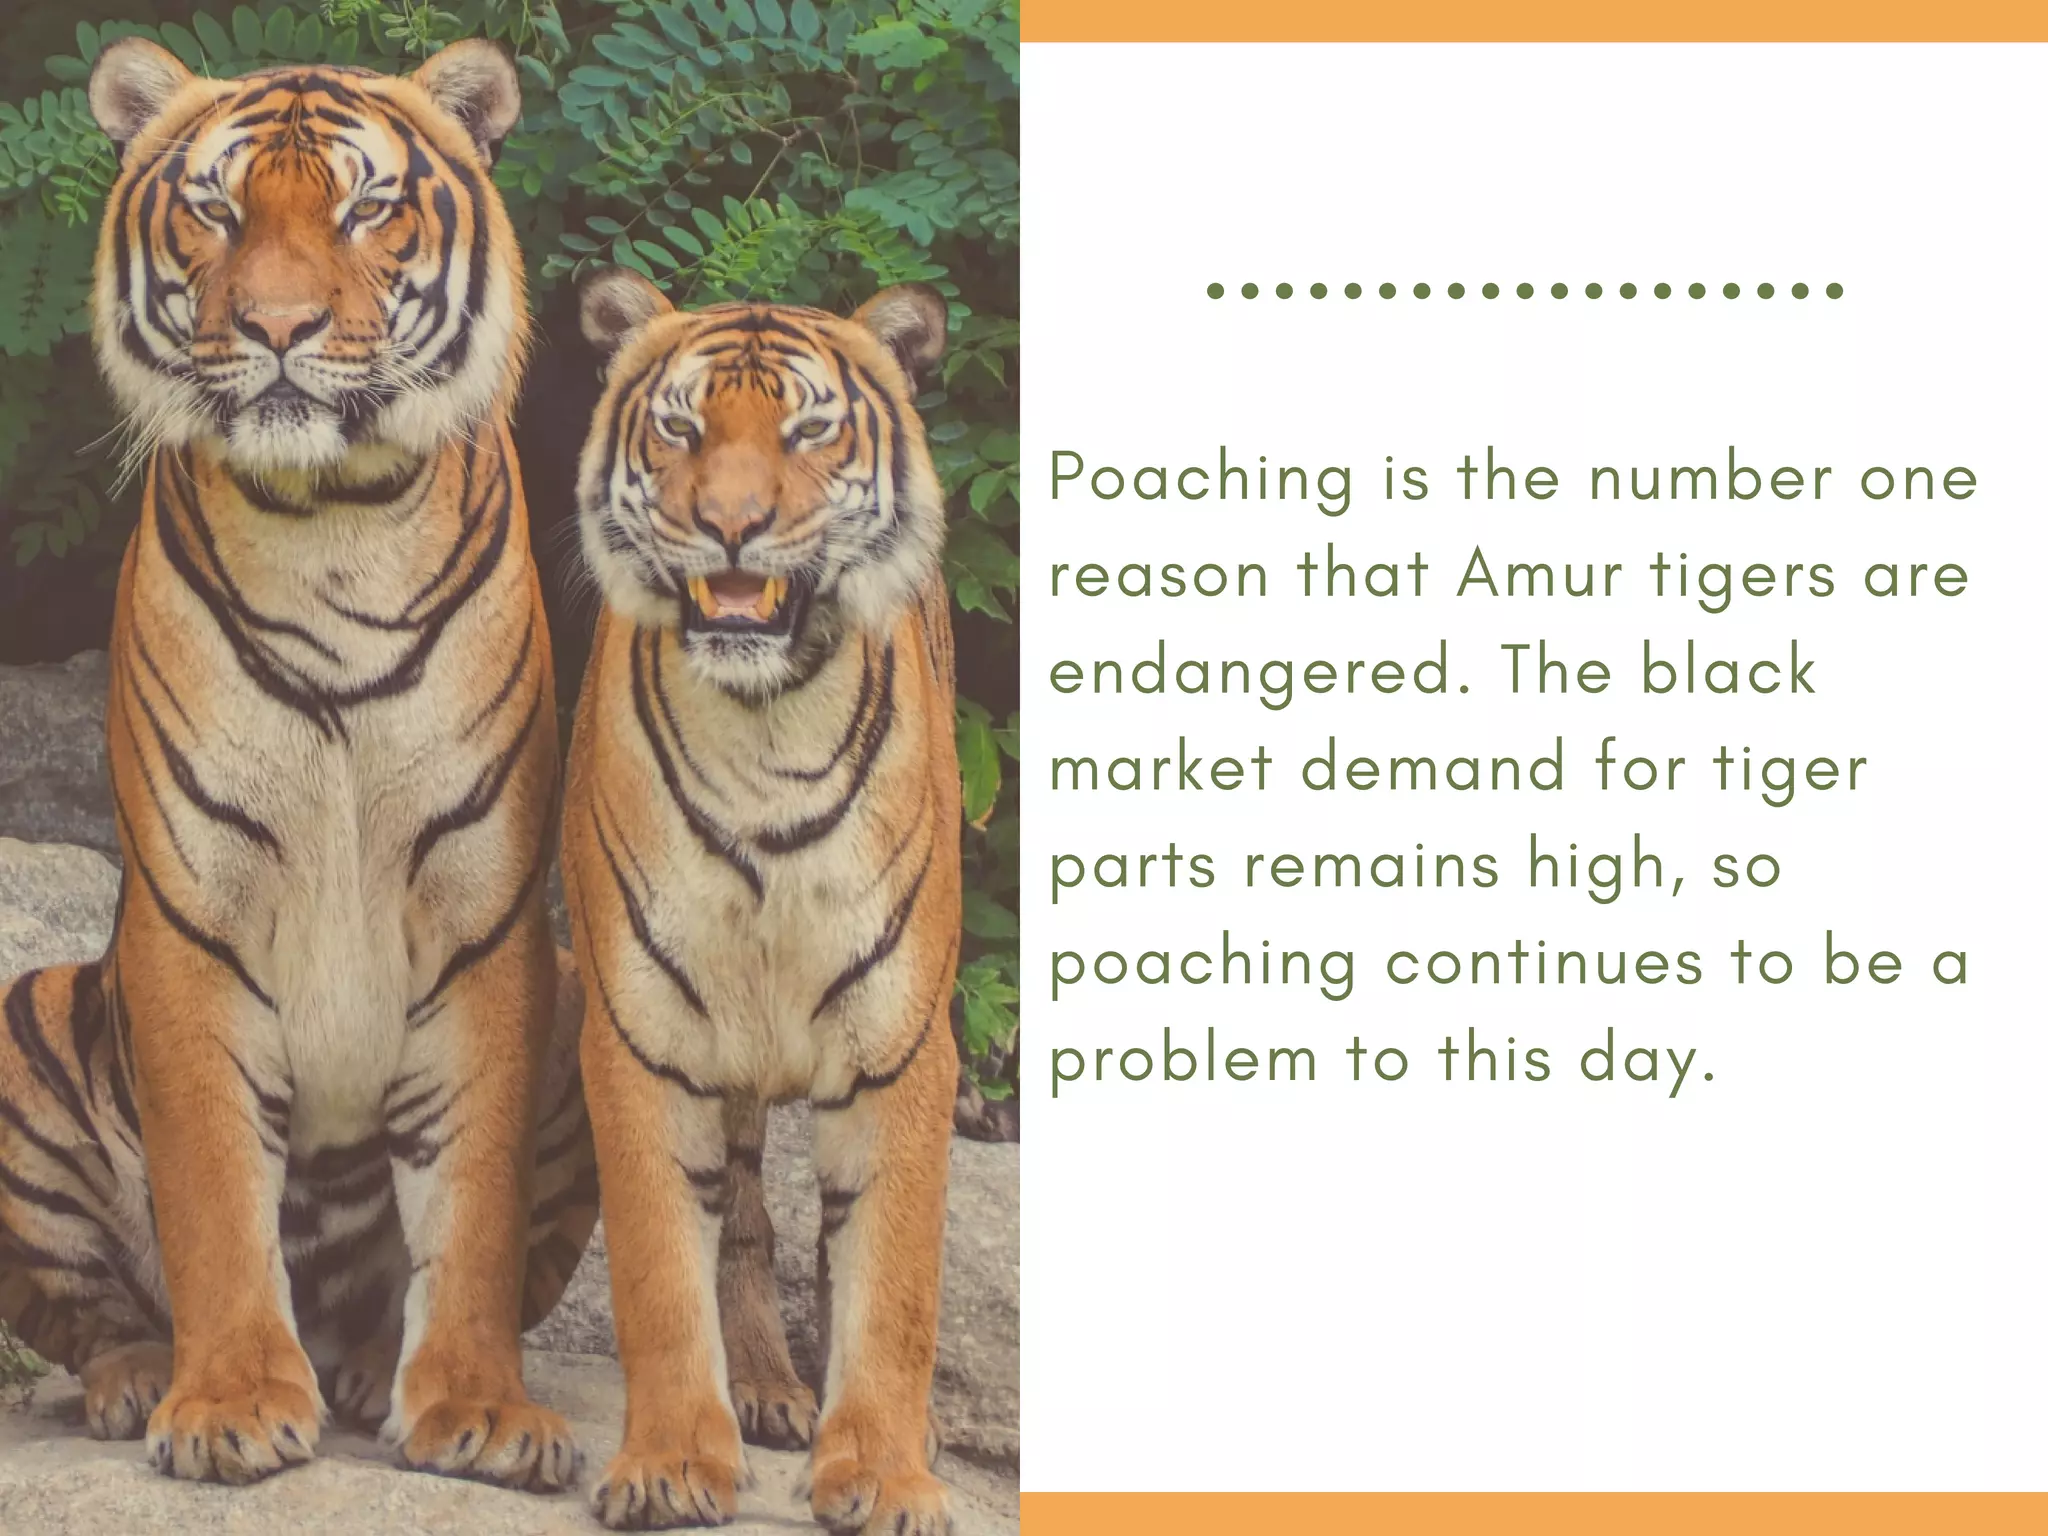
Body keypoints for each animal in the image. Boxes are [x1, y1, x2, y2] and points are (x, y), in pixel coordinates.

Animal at [0, 38, 596, 1489]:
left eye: (365, 209)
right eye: (214, 212)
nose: (275, 328)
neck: (333, 520)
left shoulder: (488, 920)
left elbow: (472, 1201)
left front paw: (475, 1408)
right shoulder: (191, 915)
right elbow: (216, 1191)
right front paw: (224, 1405)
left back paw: (369, 1370)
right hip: (21, 1029)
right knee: (94, 1313)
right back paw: (139, 1379)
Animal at [562, 266, 963, 1533]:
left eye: (807, 431)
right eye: (681, 428)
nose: (730, 525)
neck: (765, 733)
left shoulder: (902, 1048)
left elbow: (891, 1285)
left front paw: (882, 1473)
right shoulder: (639, 1037)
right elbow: (656, 1269)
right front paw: (672, 1461)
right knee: (740, 1217)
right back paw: (765, 1393)